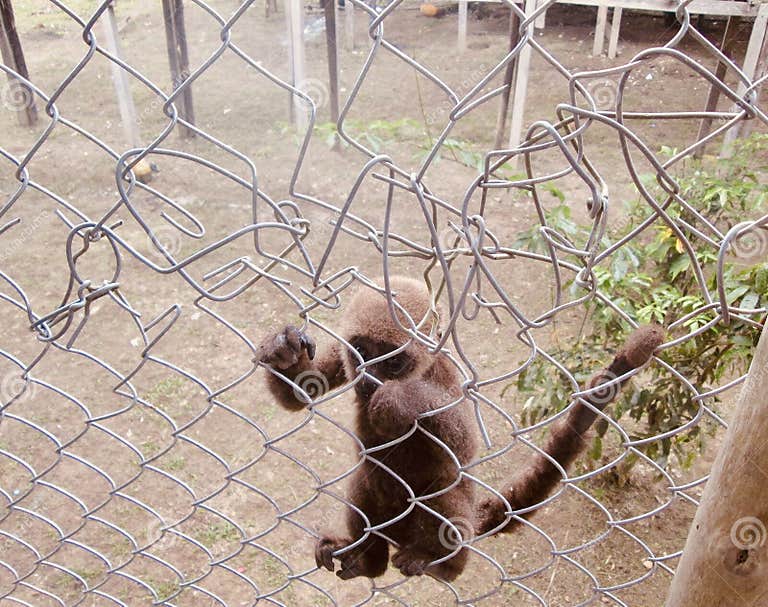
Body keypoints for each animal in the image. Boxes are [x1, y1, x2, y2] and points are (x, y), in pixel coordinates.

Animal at [256, 276, 664, 582]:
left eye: (394, 362)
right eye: (363, 352)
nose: (370, 378)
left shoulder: (444, 372)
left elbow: (463, 445)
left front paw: (399, 401)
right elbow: (305, 389)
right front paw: (286, 352)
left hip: (449, 515)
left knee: (446, 492)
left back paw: (445, 566)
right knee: (364, 483)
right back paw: (369, 563)